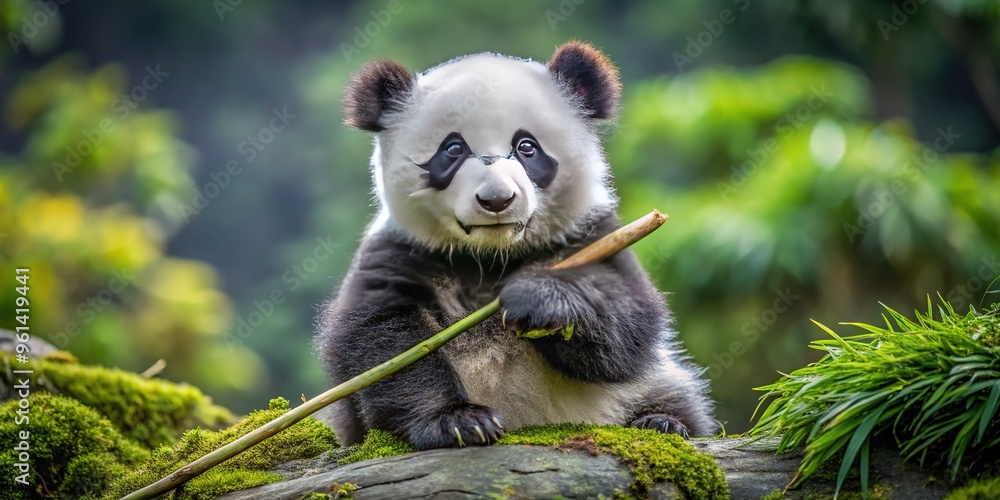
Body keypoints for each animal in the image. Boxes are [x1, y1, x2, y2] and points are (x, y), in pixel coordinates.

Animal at [315, 41, 716, 450]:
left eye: (526, 147)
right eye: (453, 149)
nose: (497, 199)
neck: (491, 256)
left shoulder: (594, 237)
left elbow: (627, 325)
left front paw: (537, 302)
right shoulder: (400, 253)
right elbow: (382, 343)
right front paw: (459, 423)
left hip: (653, 383)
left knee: (674, 394)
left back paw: (661, 422)